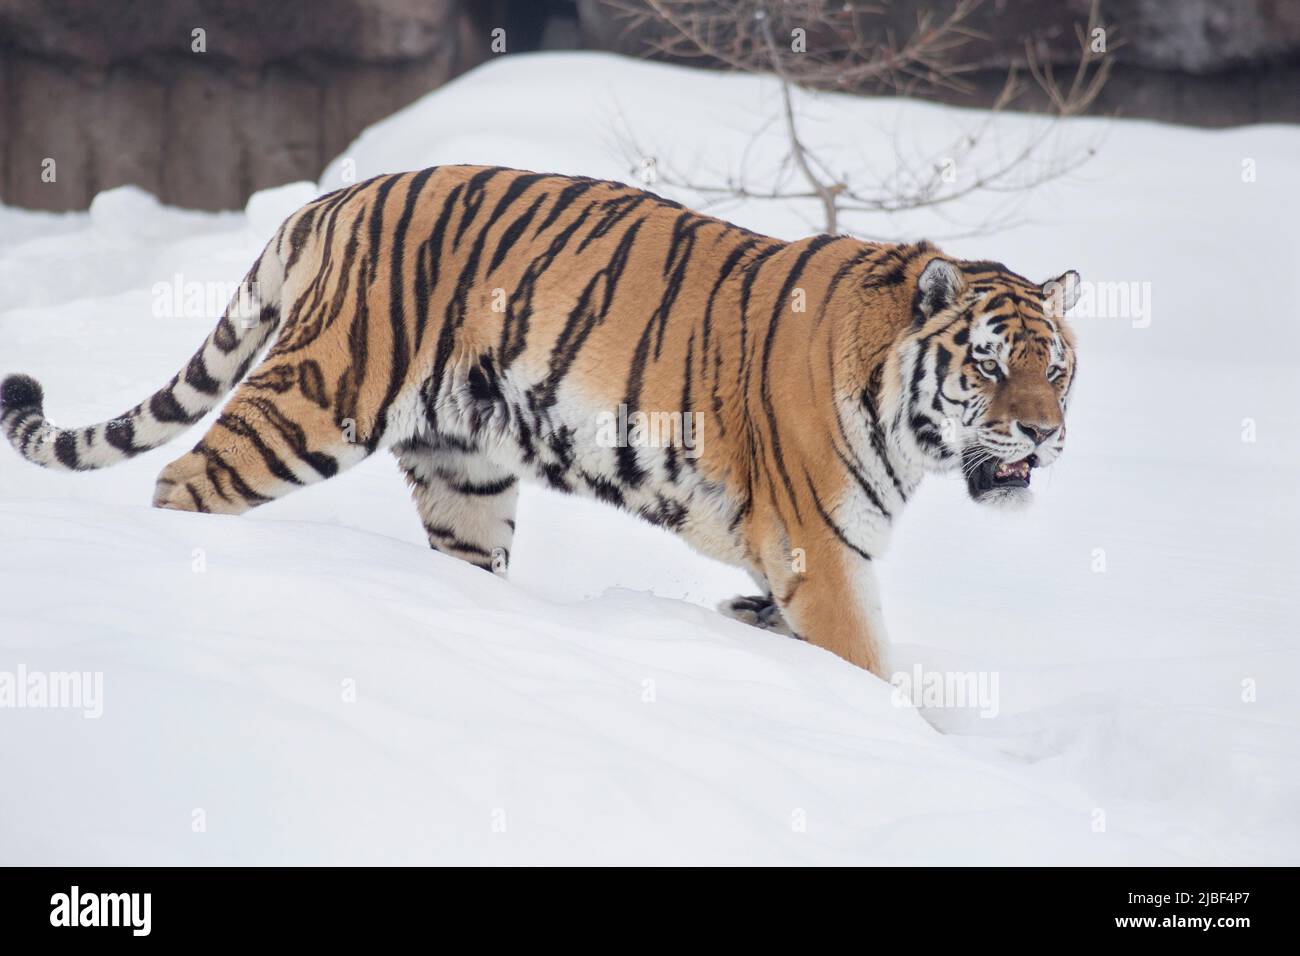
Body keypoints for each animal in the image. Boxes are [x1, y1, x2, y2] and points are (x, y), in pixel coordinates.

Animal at [0, 165, 1079, 678]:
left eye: (1056, 371)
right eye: (988, 366)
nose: (1039, 434)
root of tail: (332, 201)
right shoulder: (821, 551)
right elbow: (868, 670)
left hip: (466, 475)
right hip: (316, 397)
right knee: (182, 479)